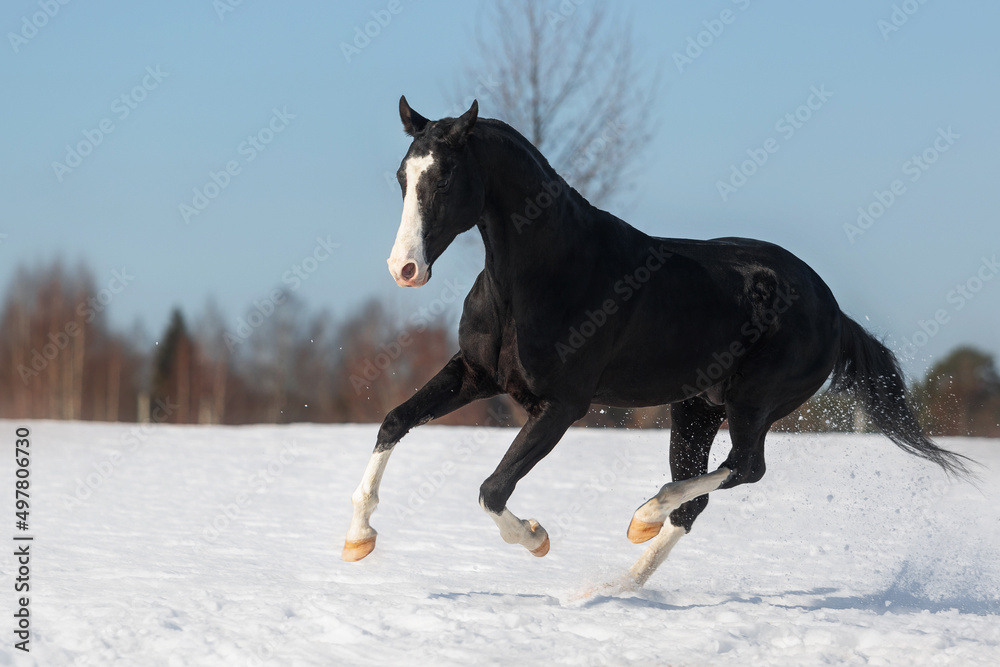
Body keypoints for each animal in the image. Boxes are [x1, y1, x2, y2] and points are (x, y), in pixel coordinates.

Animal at [342, 96, 971, 587]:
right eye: (402, 178)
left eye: (444, 177)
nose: (405, 269)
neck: (543, 276)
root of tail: (834, 311)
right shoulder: (475, 376)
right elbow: (393, 422)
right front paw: (357, 539)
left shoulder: (563, 406)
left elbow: (493, 488)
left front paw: (537, 538)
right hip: (696, 410)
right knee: (699, 498)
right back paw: (611, 585)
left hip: (752, 404)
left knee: (743, 468)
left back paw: (642, 516)